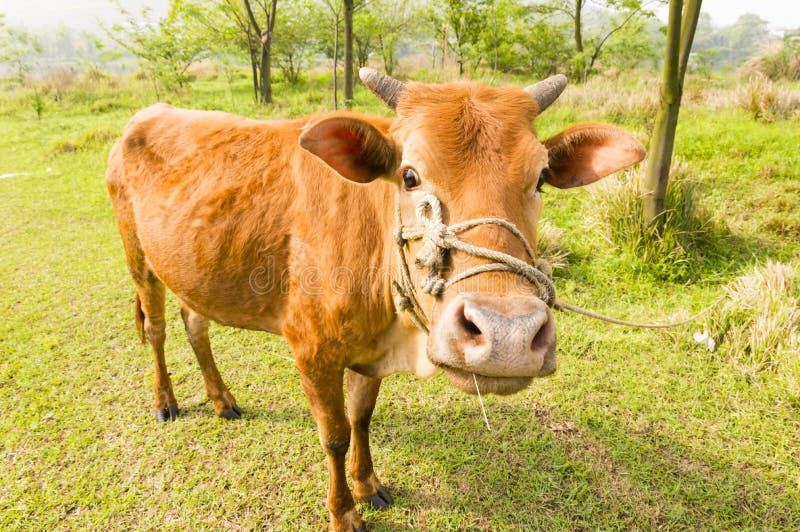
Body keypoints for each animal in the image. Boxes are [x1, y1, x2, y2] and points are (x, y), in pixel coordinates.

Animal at [105, 69, 645, 531]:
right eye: (409, 175)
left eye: (541, 178)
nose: (506, 334)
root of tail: (145, 115)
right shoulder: (312, 351)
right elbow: (335, 434)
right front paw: (343, 512)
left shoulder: (367, 354)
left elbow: (361, 417)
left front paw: (368, 485)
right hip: (138, 258)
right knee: (156, 329)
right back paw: (166, 402)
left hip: (190, 269)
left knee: (195, 325)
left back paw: (222, 400)